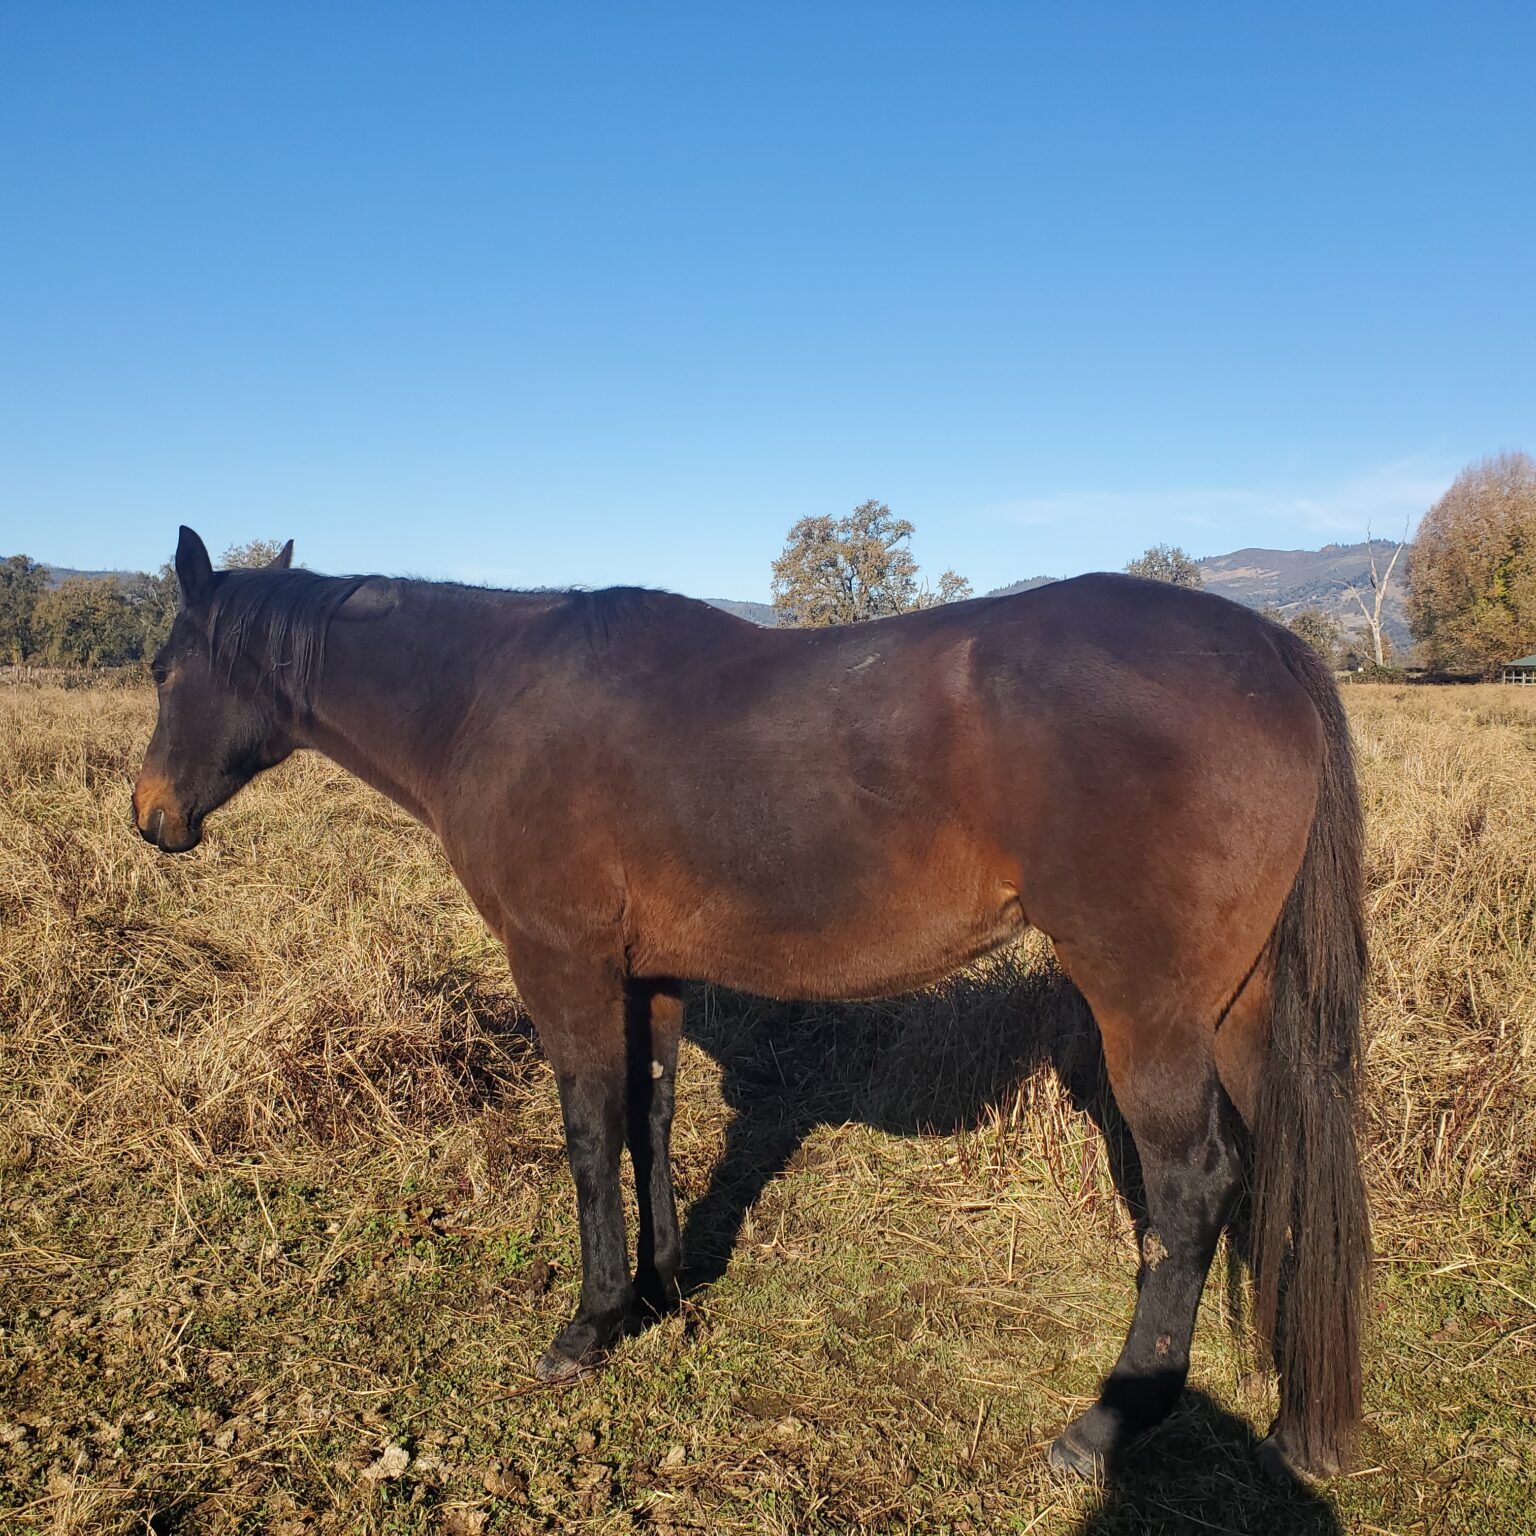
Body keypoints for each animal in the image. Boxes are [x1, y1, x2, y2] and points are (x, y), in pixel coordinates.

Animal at [132, 526, 1369, 1479]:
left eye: (161, 669)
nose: (149, 816)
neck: (490, 699)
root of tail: (1270, 649)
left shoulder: (564, 965)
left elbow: (590, 1132)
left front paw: (591, 1324)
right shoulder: (652, 974)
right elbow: (652, 1115)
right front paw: (663, 1286)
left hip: (1148, 1012)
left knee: (1193, 1185)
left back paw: (1109, 1420)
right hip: (1240, 1010)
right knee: (1278, 1159)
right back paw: (1291, 1411)